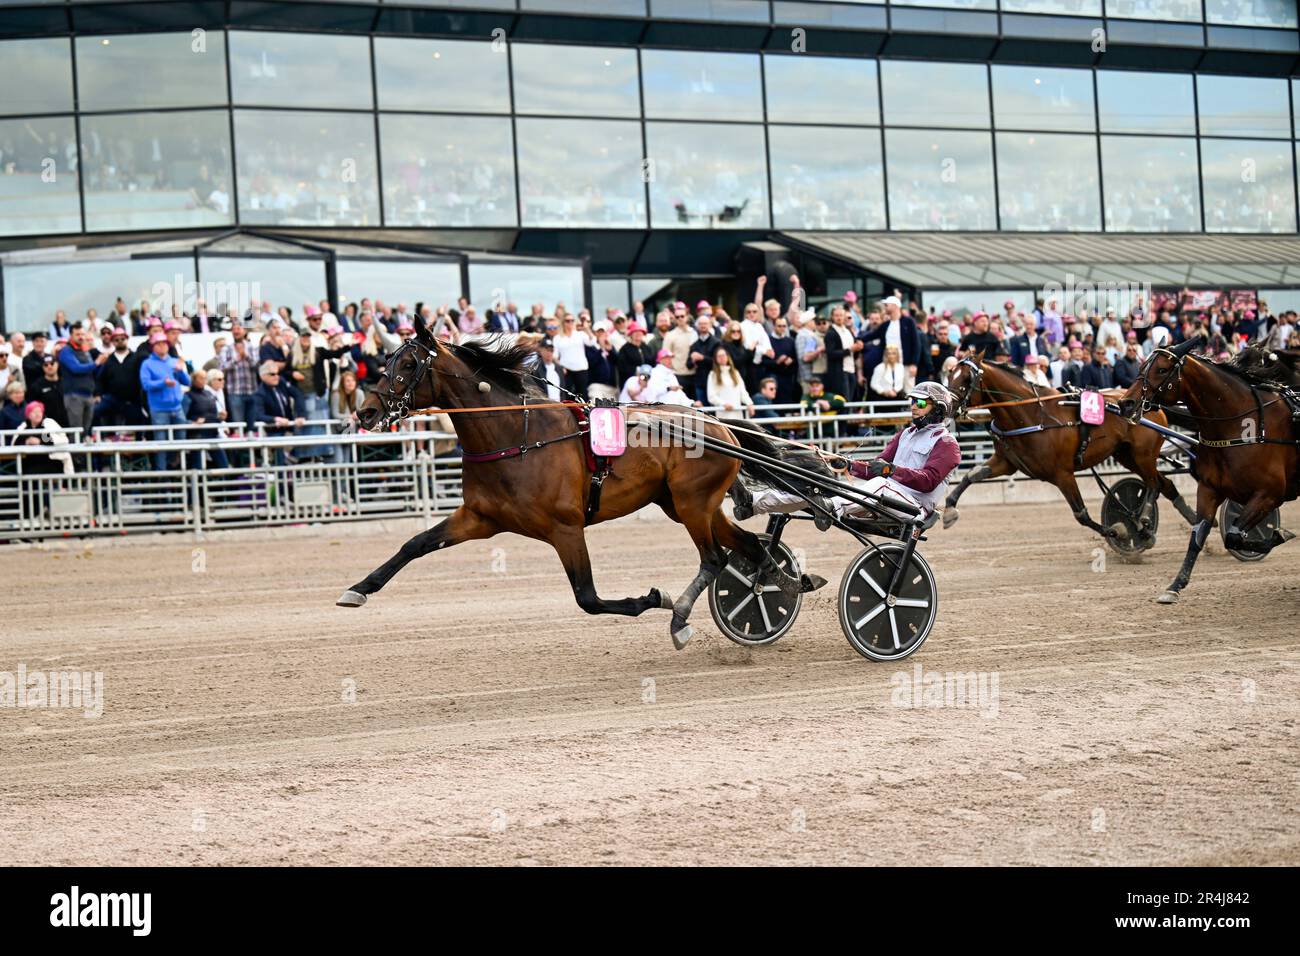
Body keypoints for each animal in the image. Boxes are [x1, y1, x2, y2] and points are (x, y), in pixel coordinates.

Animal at [338, 323, 827, 649]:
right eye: (385, 360)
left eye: (407, 364)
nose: (365, 411)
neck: (516, 435)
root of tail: (718, 424)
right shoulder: (478, 518)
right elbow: (415, 544)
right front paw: (357, 589)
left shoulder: (565, 528)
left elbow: (588, 598)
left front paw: (655, 598)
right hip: (685, 504)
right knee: (749, 547)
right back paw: (783, 583)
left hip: (693, 504)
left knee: (714, 558)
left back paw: (681, 617)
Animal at [944, 354, 1196, 545]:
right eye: (949, 373)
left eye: (966, 377)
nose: (947, 404)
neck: (1031, 414)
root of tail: (1150, 403)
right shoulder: (1006, 462)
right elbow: (971, 475)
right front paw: (949, 511)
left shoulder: (1062, 474)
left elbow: (1081, 514)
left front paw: (1120, 532)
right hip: (1127, 455)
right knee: (1165, 483)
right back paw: (1193, 518)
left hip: (1143, 455)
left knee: (1155, 484)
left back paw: (1144, 519)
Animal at [1120, 336, 1299, 603]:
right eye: (1141, 367)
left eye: (1161, 369)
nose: (1126, 403)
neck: (1244, 428)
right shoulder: (1209, 489)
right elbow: (1198, 536)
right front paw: (1174, 586)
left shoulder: (1270, 494)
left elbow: (1234, 535)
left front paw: (1279, 534)